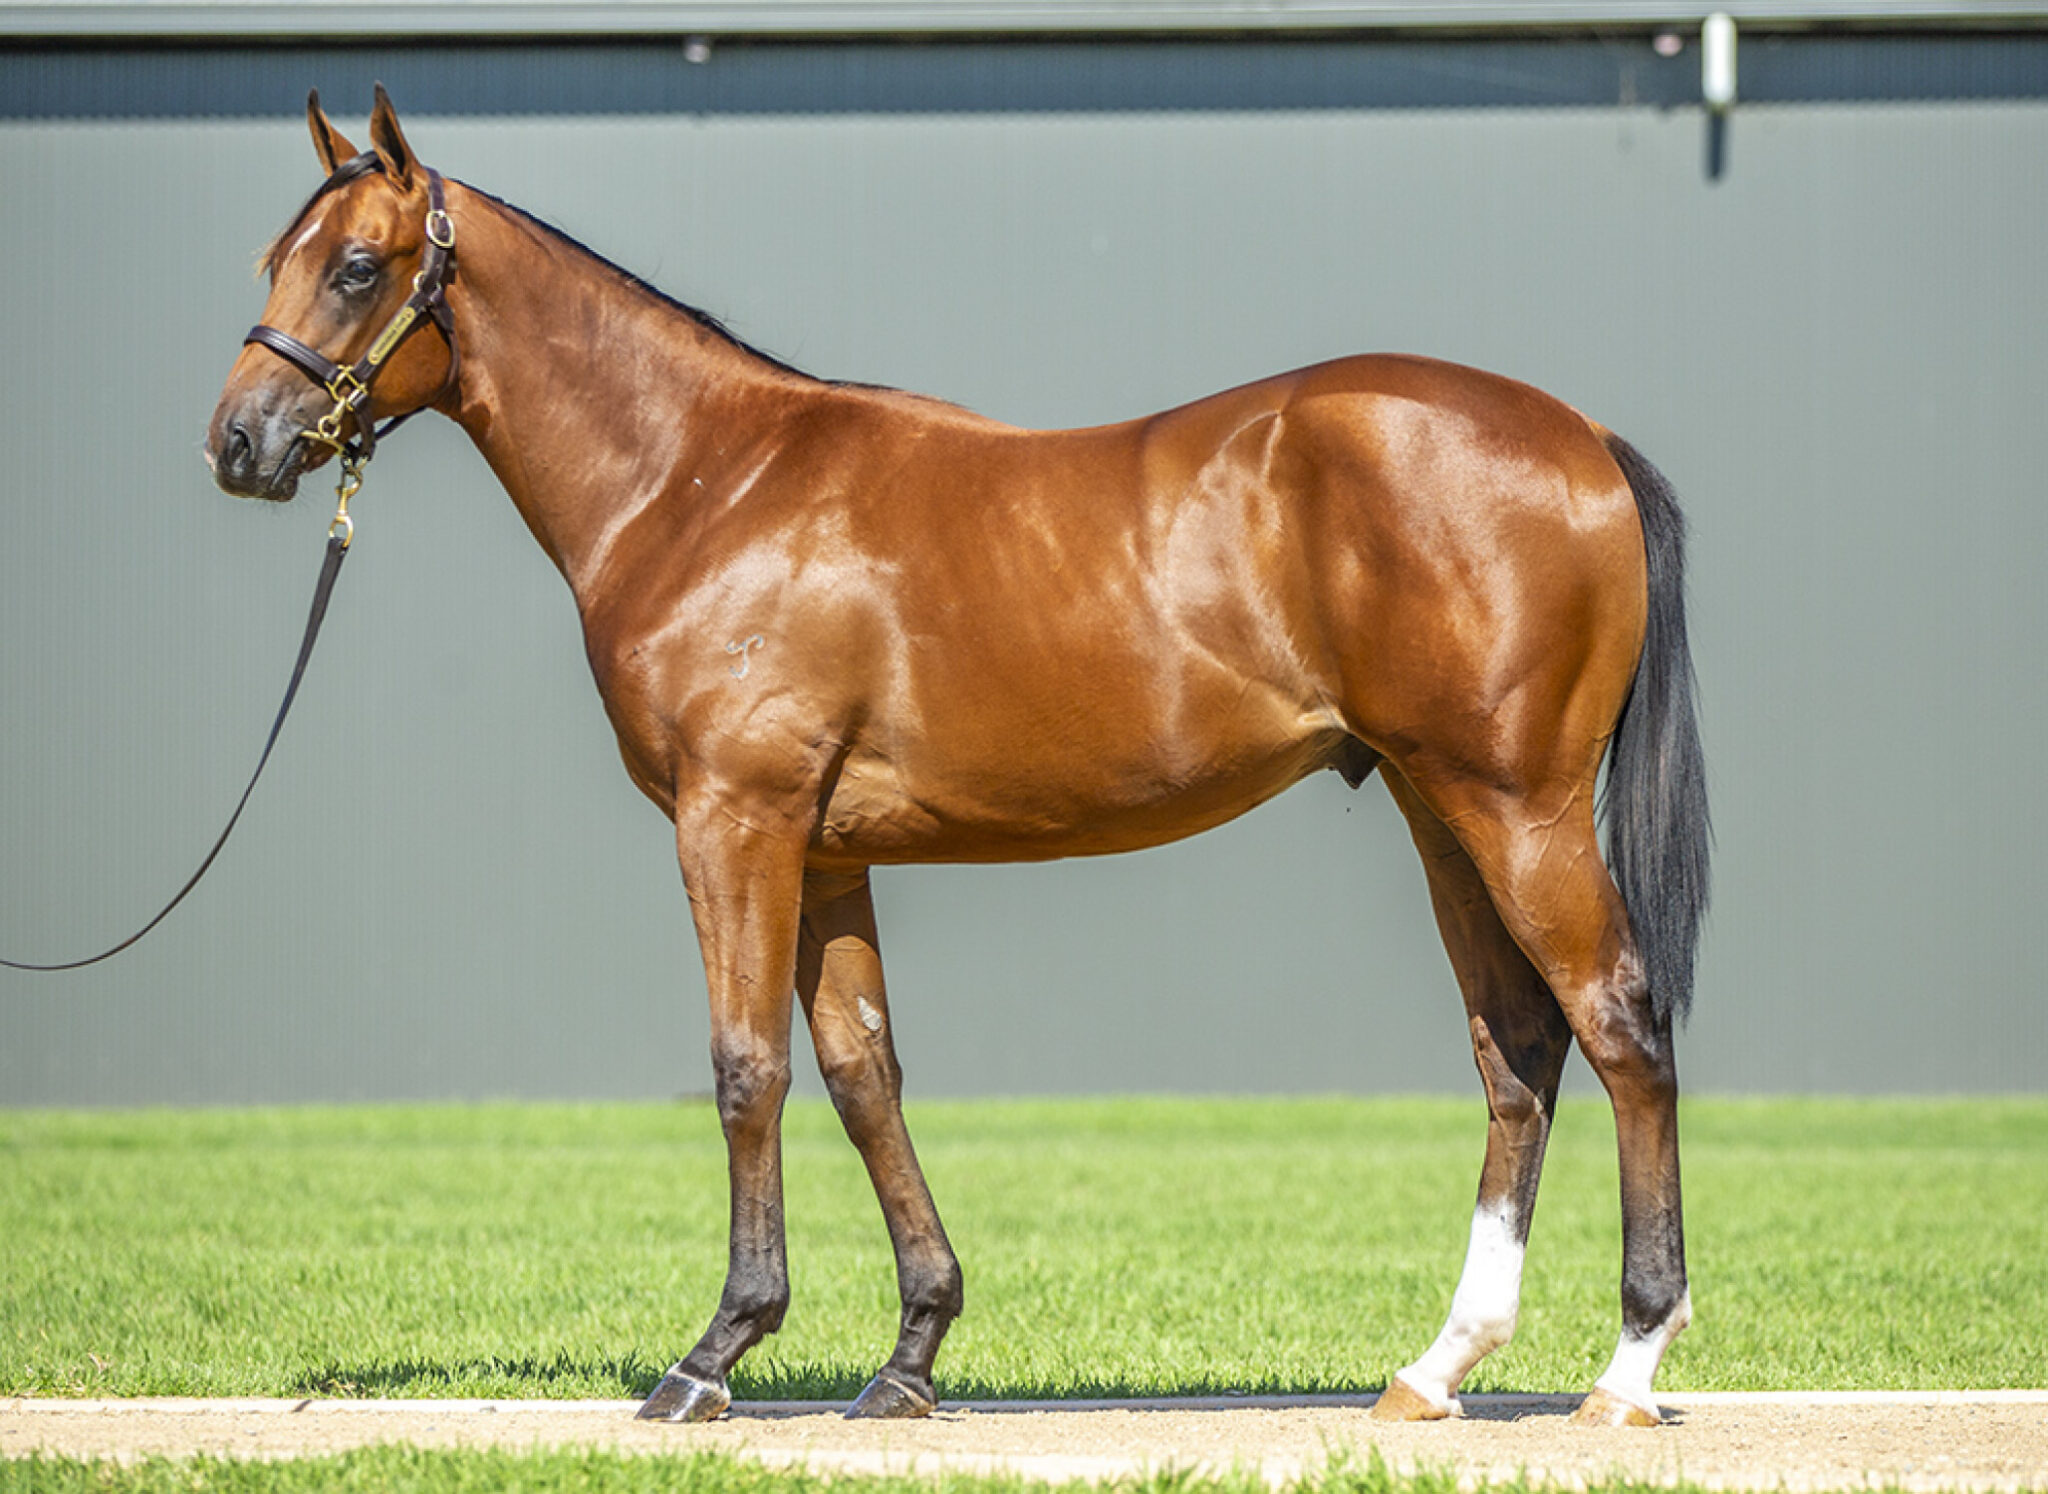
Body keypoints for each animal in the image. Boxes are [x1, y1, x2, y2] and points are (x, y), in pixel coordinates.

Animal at [207, 88, 1708, 1429]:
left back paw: (1627, 1366)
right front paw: (910, 1356)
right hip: (1434, 805)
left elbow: (746, 1067)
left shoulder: (734, 822)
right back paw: (1437, 1367)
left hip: (1514, 806)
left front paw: (715, 1353)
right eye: (274, 255)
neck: (704, 484)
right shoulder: (825, 852)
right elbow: (862, 1076)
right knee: (1517, 1048)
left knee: (1618, 1023)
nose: (239, 443)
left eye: (354, 266)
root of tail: (1579, 438)